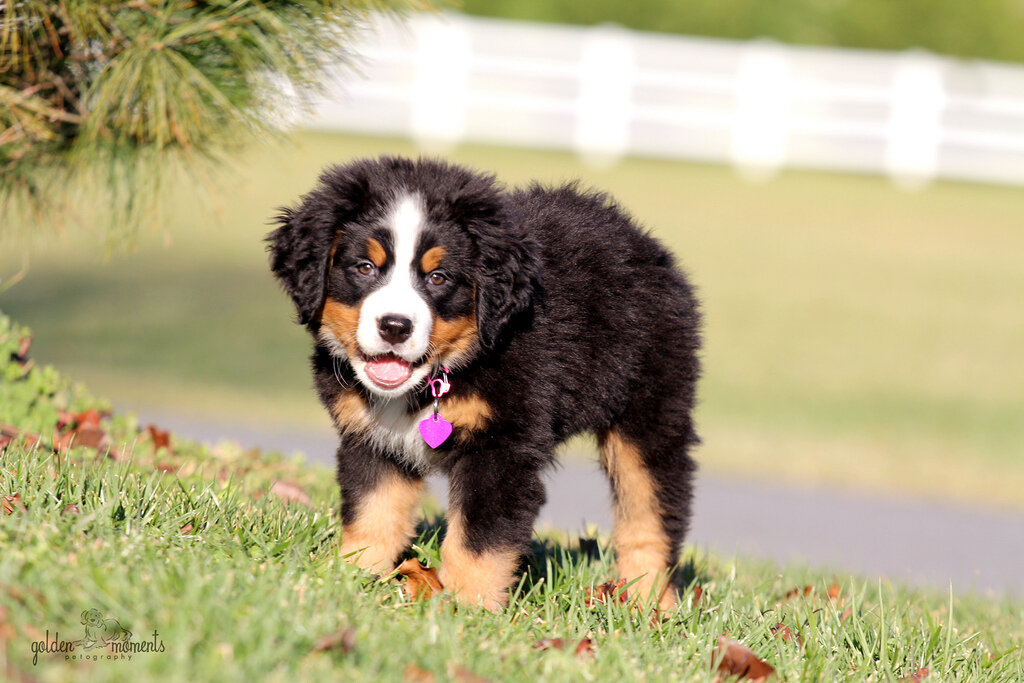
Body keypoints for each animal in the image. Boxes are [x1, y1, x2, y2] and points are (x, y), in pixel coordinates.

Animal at [268, 157, 700, 610]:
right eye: (365, 268)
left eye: (438, 278)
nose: (395, 326)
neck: (440, 375)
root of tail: (647, 248)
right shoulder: (371, 439)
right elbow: (373, 511)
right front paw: (351, 576)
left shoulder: (502, 449)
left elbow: (478, 539)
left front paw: (466, 607)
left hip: (649, 412)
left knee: (651, 508)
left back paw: (648, 600)